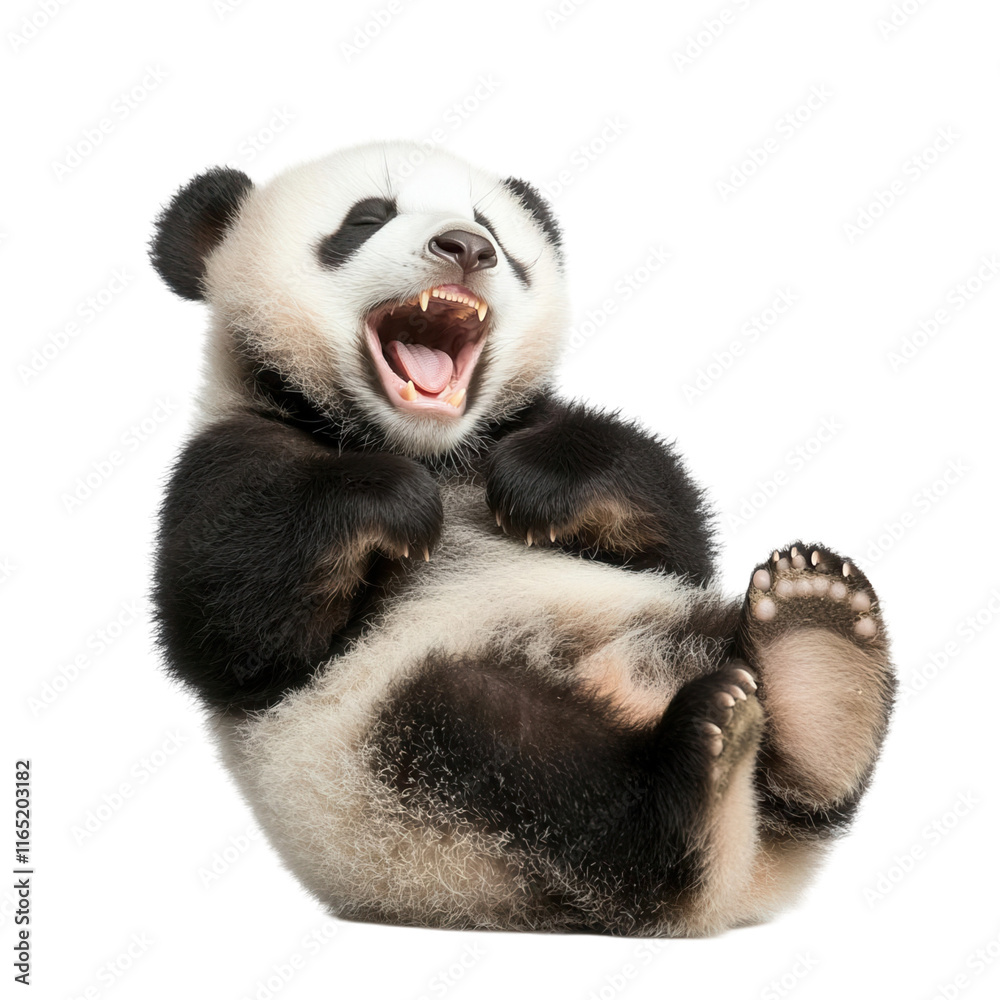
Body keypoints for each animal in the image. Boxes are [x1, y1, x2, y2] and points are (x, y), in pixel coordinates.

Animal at [149, 141, 896, 936]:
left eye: (495, 232)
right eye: (366, 218)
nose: (465, 247)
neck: (430, 450)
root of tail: (753, 873)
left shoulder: (528, 438)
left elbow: (671, 530)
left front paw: (539, 484)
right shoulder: (229, 452)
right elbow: (234, 623)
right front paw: (391, 503)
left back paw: (815, 646)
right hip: (391, 774)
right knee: (528, 763)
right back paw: (709, 751)